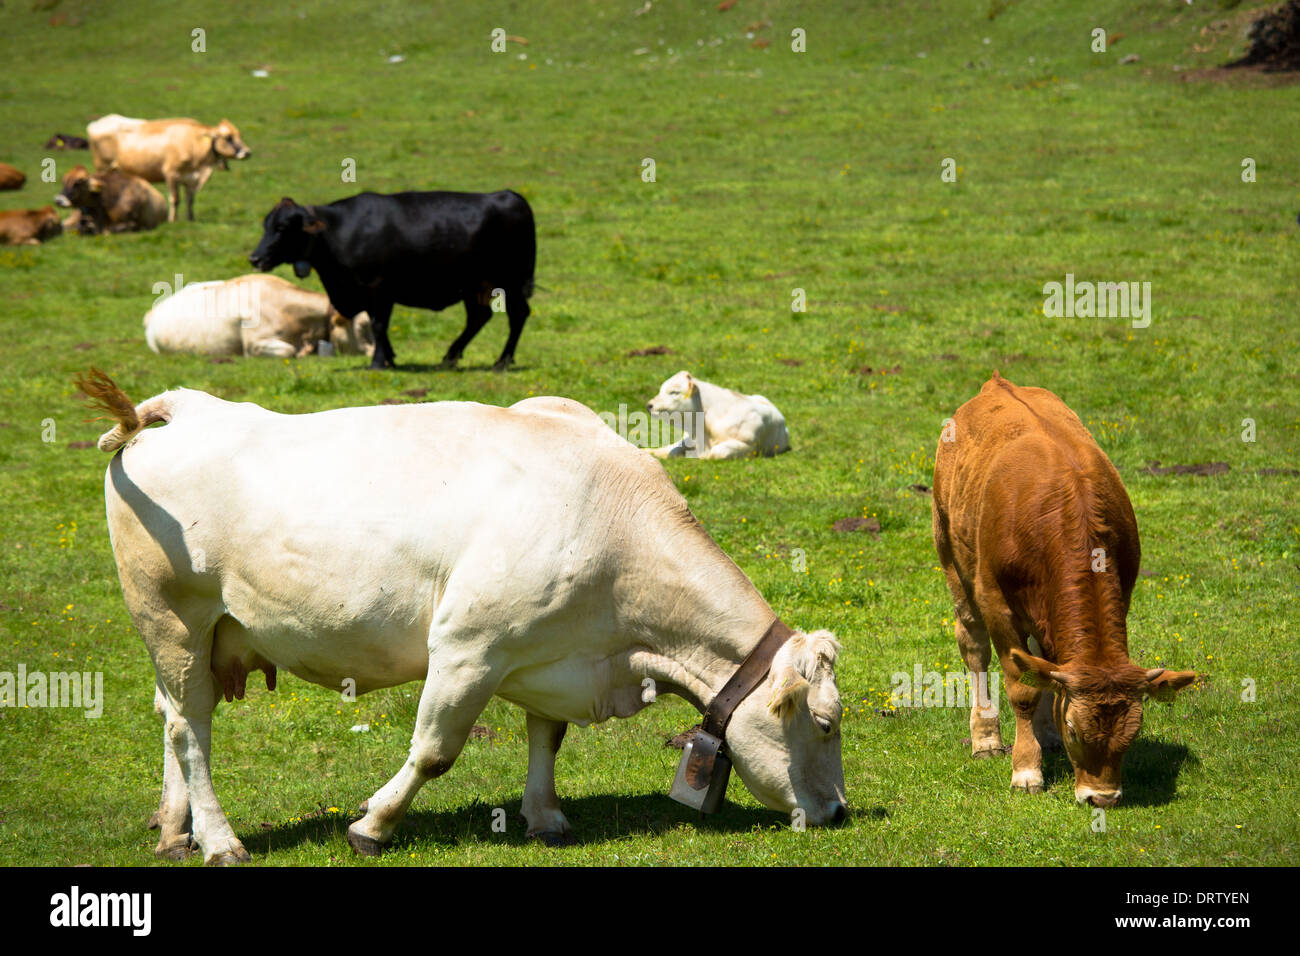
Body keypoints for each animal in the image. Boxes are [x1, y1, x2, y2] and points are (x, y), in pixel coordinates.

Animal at [89, 116, 250, 222]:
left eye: (239, 135)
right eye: (228, 137)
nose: (247, 152)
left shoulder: (191, 178)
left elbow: (190, 199)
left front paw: (190, 218)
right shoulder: (171, 174)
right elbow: (175, 199)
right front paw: (172, 220)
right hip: (103, 168)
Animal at [248, 191, 536, 372]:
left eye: (283, 228)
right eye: (266, 225)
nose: (255, 258)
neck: (338, 231)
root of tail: (509, 195)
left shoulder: (378, 288)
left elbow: (378, 325)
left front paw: (378, 362)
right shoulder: (367, 292)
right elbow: (378, 325)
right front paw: (390, 358)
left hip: (509, 281)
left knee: (517, 314)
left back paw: (502, 361)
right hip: (477, 285)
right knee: (479, 317)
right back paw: (449, 357)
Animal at [931, 373, 1196, 807]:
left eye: (1134, 732)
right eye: (1075, 730)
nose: (1101, 798)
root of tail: (995, 384)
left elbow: (1045, 675)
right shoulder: (996, 603)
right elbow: (1022, 689)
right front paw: (1026, 769)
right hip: (952, 557)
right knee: (973, 645)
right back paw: (986, 738)